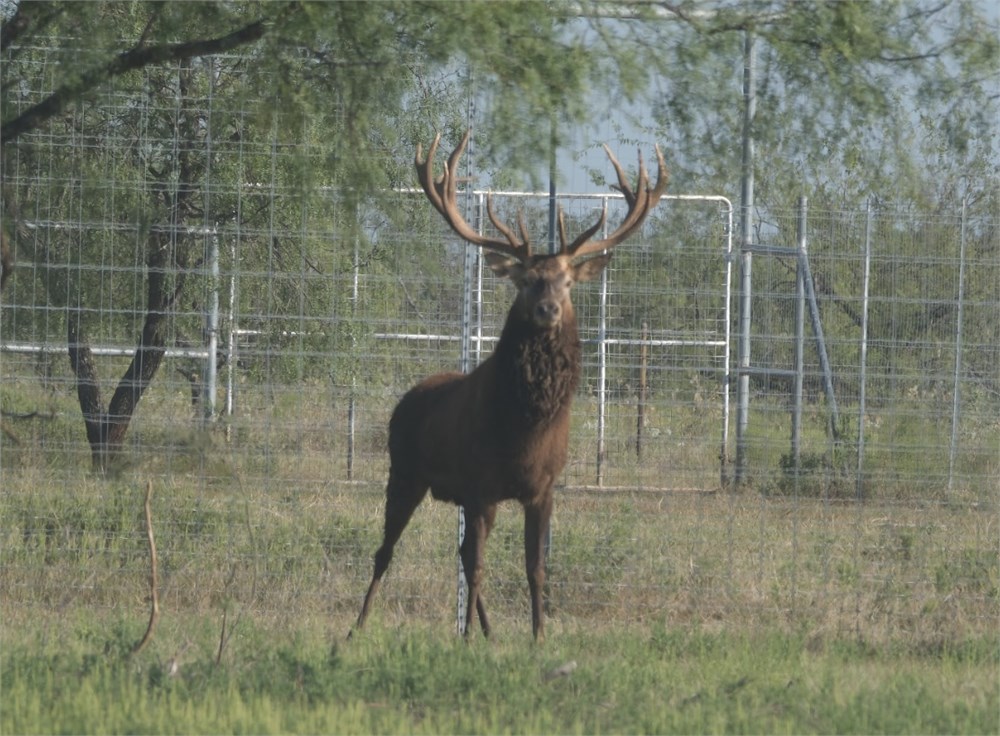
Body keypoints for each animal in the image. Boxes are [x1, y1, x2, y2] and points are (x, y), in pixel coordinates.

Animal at [352, 129, 667, 641]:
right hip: (405, 472)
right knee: (388, 551)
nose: (547, 310)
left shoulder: (541, 488)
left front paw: (538, 637)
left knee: (458, 551)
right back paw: (358, 626)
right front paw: (463, 642)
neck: (525, 431)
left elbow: (534, 567)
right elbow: (478, 567)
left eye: (566, 282)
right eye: (527, 281)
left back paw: (489, 632)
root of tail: (408, 397)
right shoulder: (480, 484)